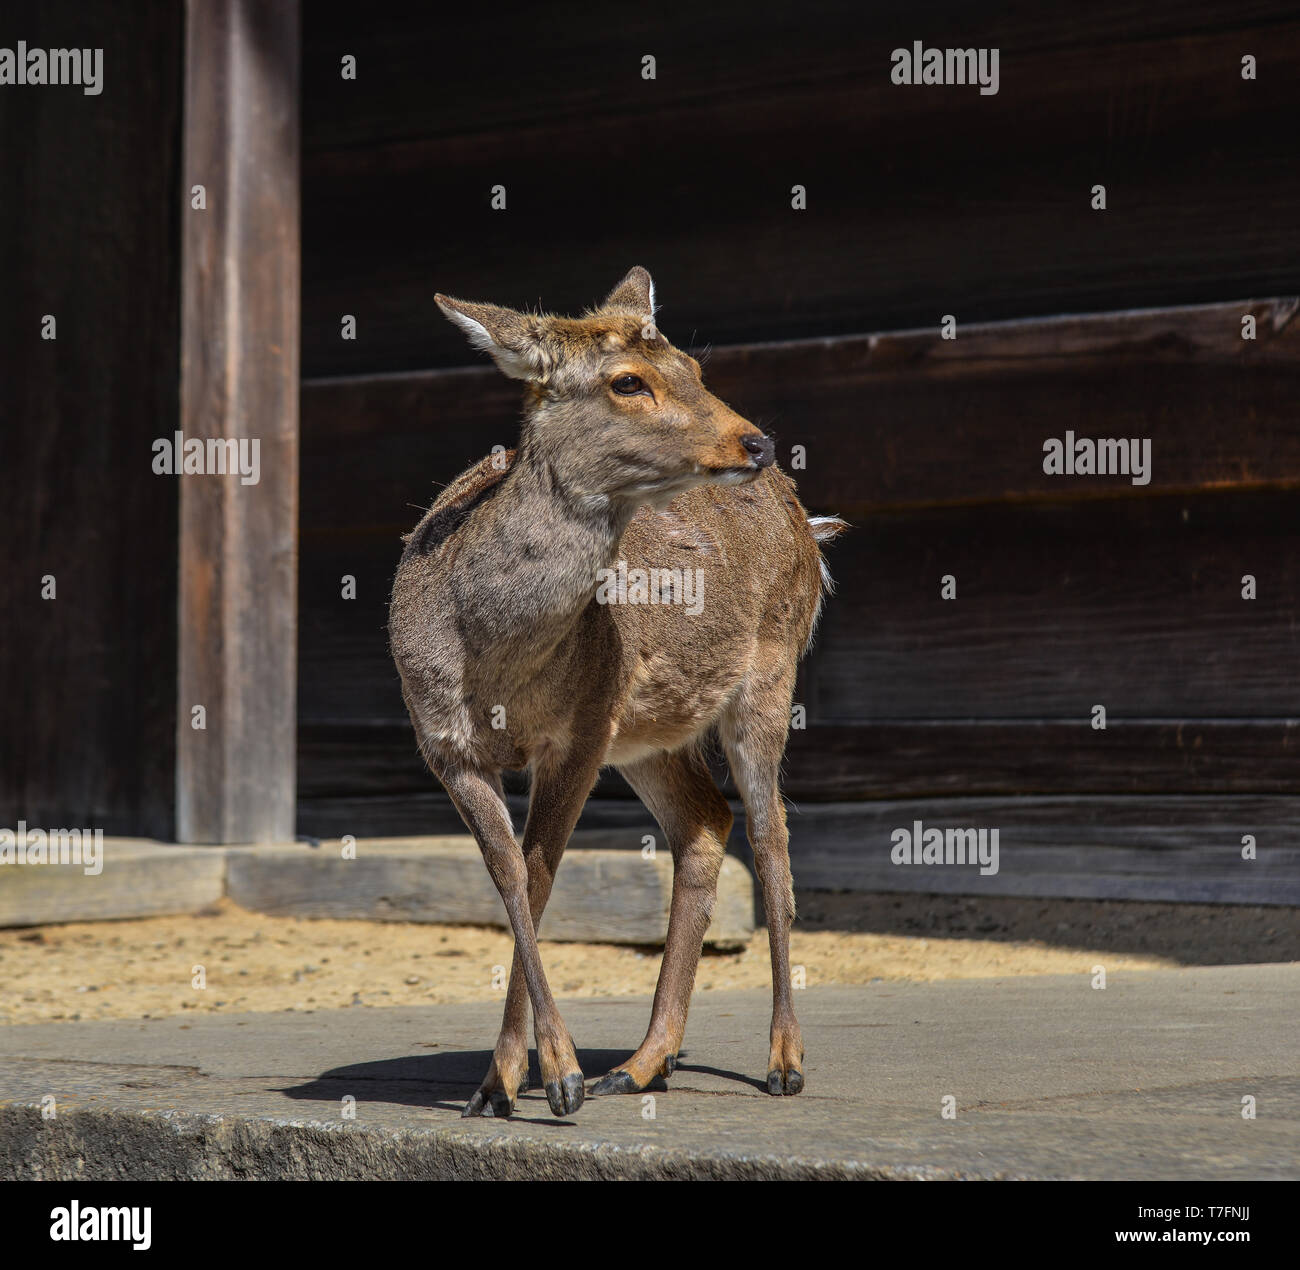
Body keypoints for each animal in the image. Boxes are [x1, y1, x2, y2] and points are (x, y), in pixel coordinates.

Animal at [388, 267, 846, 1118]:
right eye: (628, 381)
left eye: (694, 369)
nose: (757, 441)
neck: (491, 661)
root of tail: (811, 524)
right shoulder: (444, 743)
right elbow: (509, 878)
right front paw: (504, 1083)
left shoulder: (578, 733)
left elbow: (538, 877)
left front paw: (550, 1076)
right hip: (644, 733)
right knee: (705, 821)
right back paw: (641, 1062)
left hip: (766, 671)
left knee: (771, 837)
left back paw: (783, 1060)